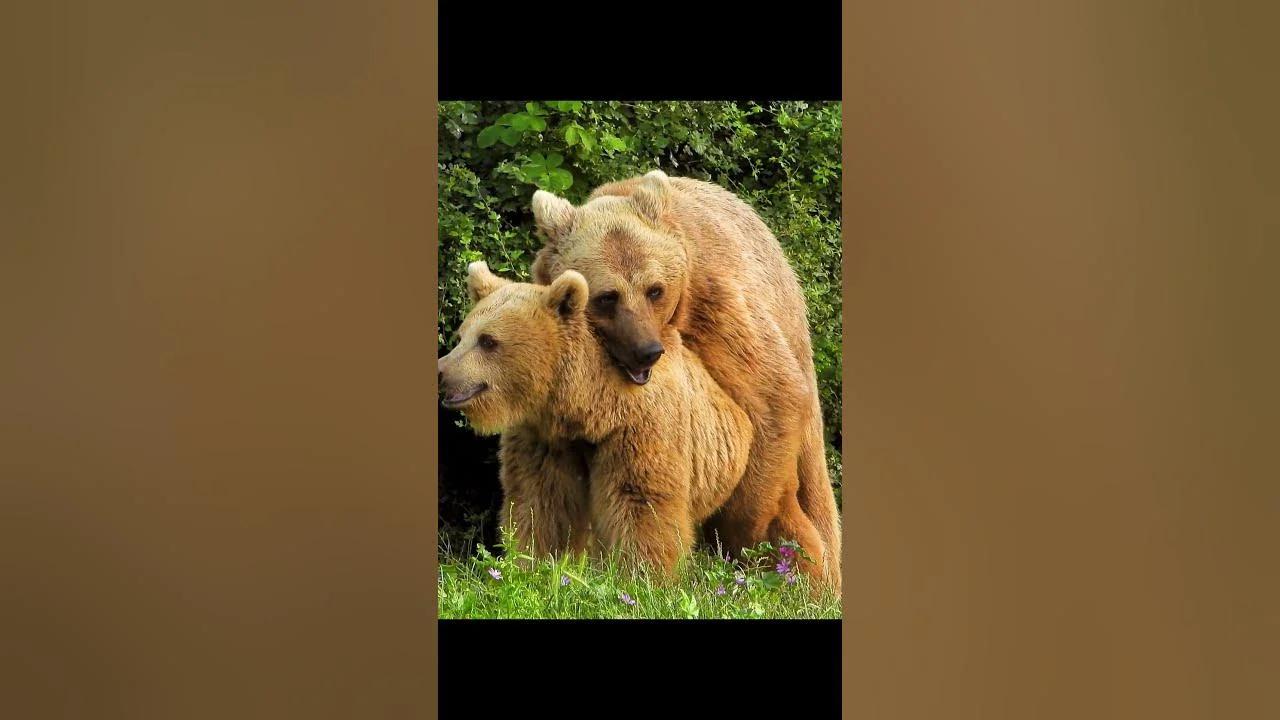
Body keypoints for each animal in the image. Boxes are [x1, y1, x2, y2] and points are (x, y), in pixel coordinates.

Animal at [437, 261, 753, 576]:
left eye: (488, 341)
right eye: (462, 335)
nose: (442, 371)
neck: (590, 409)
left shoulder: (640, 430)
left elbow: (640, 503)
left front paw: (641, 574)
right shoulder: (546, 440)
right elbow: (540, 502)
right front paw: (532, 564)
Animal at [527, 170, 842, 588]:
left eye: (654, 290)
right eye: (608, 297)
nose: (647, 350)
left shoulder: (714, 299)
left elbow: (774, 393)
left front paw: (739, 533)